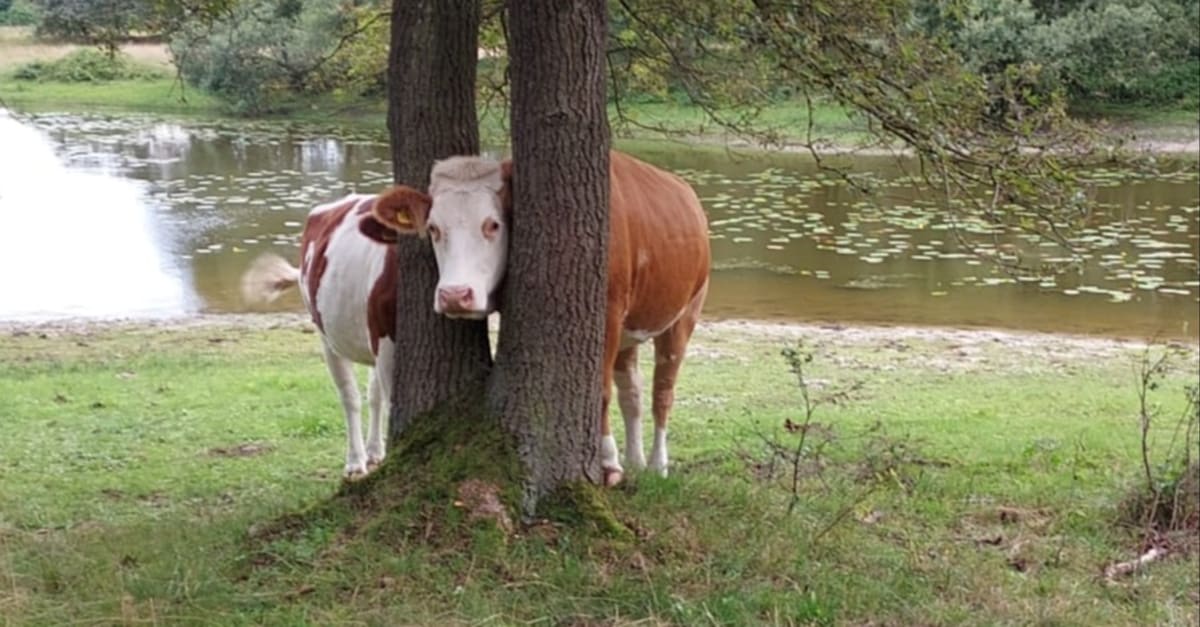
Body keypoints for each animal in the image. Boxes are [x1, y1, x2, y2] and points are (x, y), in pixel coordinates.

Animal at [358, 151, 710, 485]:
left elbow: (601, 390)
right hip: (632, 329)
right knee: (632, 391)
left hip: (685, 314)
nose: (454, 294)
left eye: (493, 224)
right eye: (433, 228)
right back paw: (636, 461)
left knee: (662, 391)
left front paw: (608, 462)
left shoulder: (609, 313)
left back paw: (656, 464)